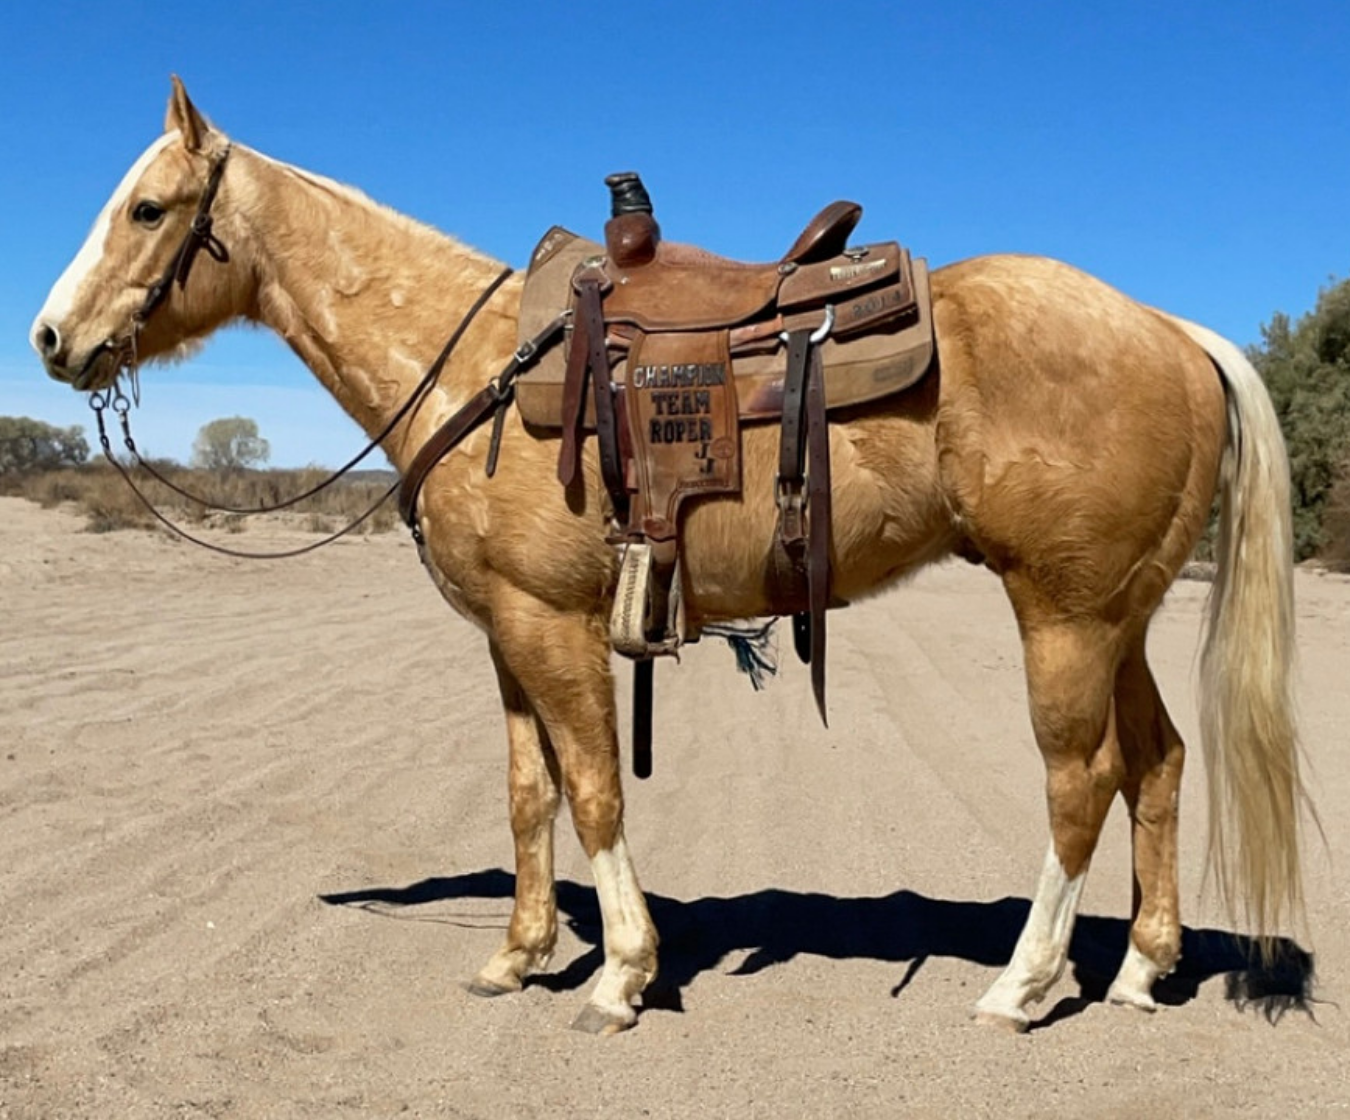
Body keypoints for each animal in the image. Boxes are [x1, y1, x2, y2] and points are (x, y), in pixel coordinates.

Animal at [31, 77, 1310, 1035]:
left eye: (147, 208)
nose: (51, 337)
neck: (475, 370)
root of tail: (1173, 331)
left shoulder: (552, 625)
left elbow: (595, 791)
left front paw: (619, 973)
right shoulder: (506, 634)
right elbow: (528, 791)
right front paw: (517, 955)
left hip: (1064, 618)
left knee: (1081, 780)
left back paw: (1023, 983)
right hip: (1117, 618)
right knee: (1159, 765)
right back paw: (1139, 969)